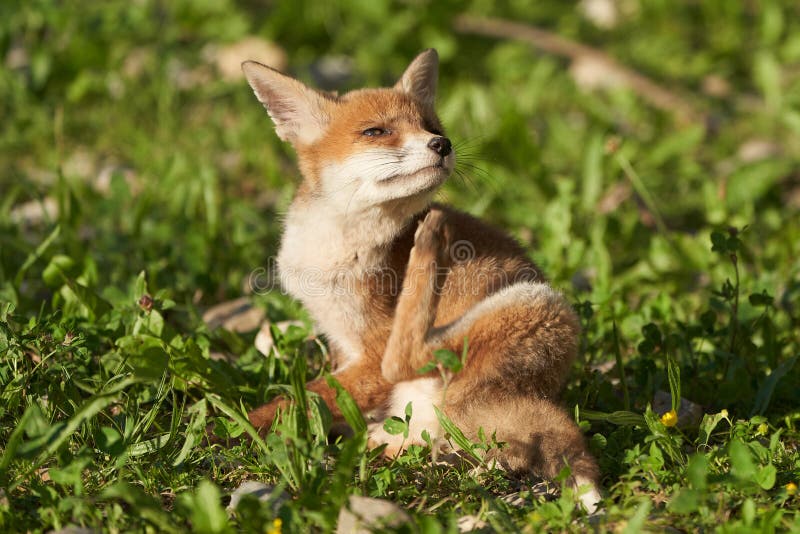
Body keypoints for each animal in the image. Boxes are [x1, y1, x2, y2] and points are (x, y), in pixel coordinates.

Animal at [241, 49, 601, 511]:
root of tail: (538, 391)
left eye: (432, 127)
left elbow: (299, 401)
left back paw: (430, 244)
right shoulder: (341, 340)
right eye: (376, 131)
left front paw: (233, 424)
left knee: (404, 358)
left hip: (532, 306)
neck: (336, 251)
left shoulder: (372, 350)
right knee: (424, 437)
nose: (442, 145)